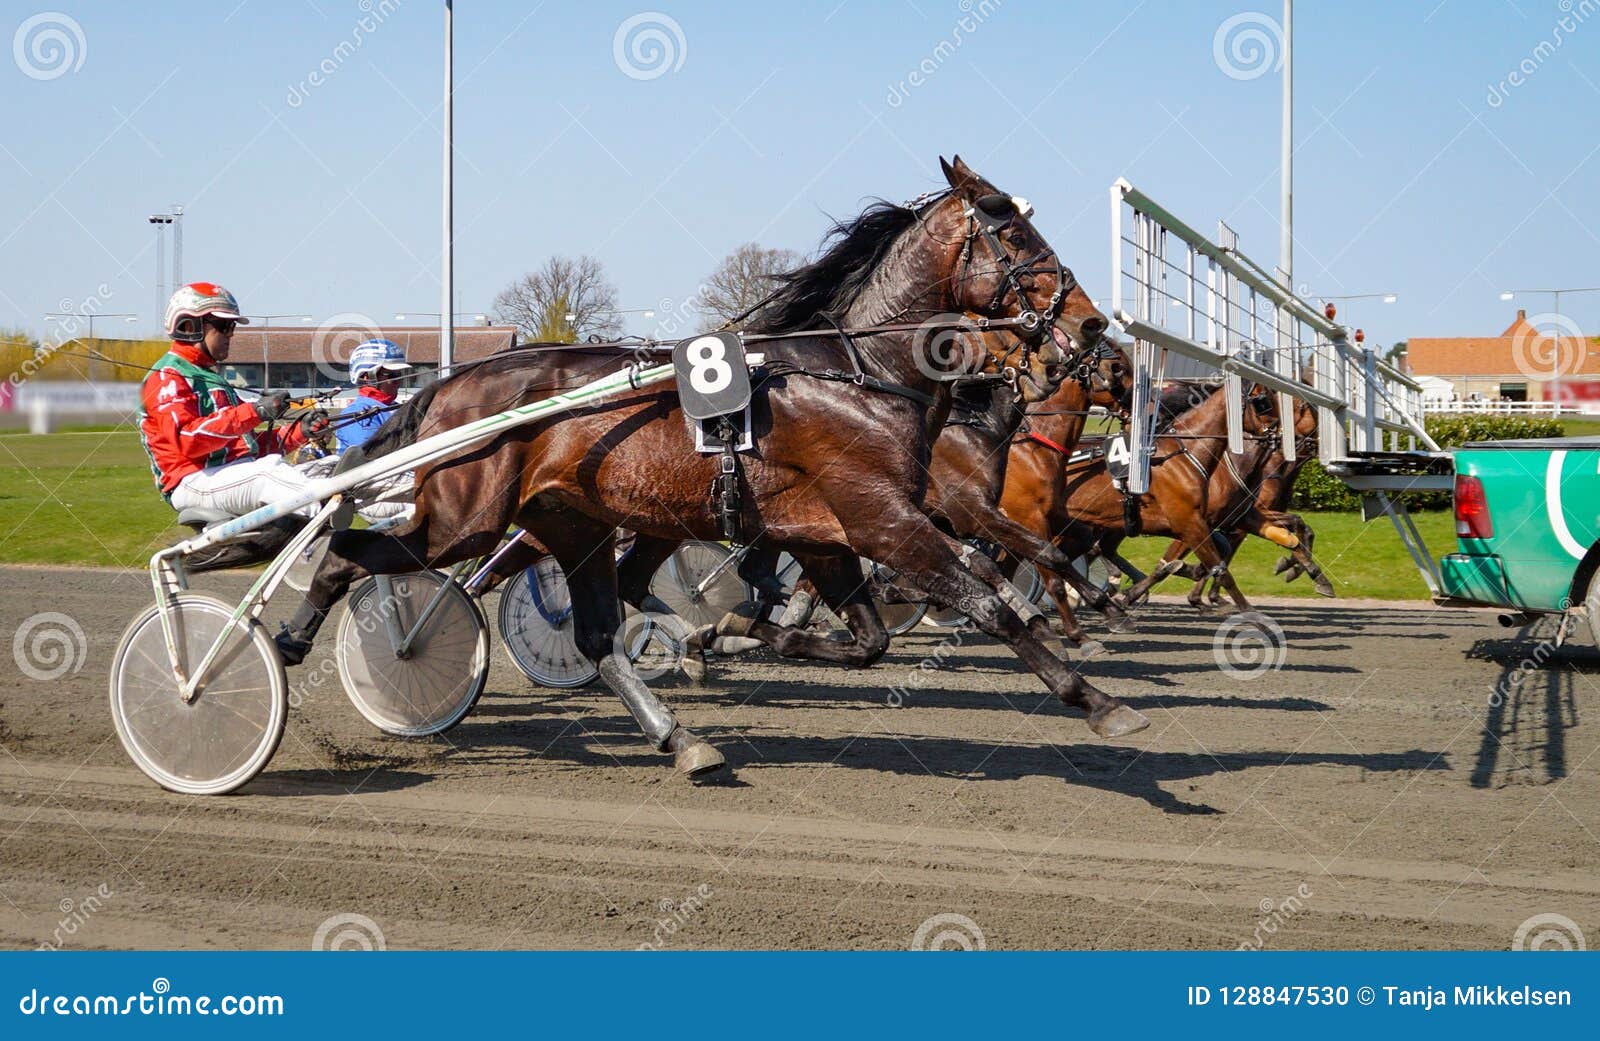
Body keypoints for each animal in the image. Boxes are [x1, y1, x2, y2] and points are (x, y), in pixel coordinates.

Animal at [276, 155, 1149, 781]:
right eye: (1018, 239)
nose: (1091, 326)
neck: (856, 373)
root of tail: (449, 385)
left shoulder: (830, 534)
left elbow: (866, 639)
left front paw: (729, 632)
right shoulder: (886, 520)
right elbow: (992, 602)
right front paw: (1100, 701)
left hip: (575, 522)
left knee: (598, 632)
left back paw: (682, 737)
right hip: (468, 517)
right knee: (351, 556)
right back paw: (289, 641)